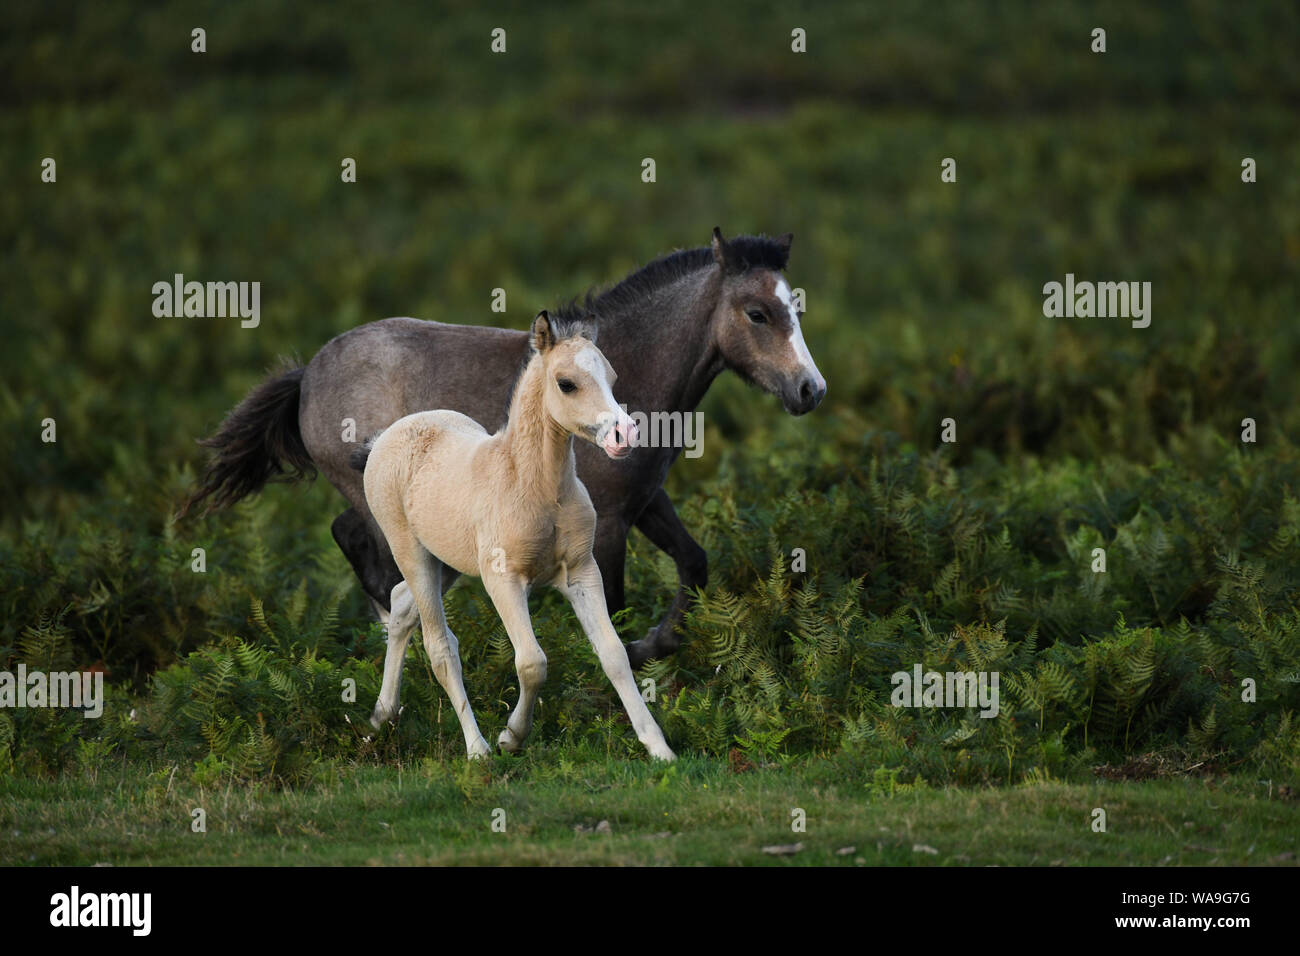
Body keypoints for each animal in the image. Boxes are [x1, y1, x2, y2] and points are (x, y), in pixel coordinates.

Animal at [183, 228, 826, 667]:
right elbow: (614, 610)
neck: (630, 375)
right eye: (757, 312)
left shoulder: (644, 501)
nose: (810, 390)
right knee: (375, 557)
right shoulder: (611, 522)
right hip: (380, 504)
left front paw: (658, 643)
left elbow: (694, 563)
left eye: (796, 307)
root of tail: (307, 376)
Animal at [356, 310, 675, 761]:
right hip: (411, 551)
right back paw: (477, 748)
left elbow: (614, 653)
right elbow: (531, 662)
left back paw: (381, 715)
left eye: (612, 378)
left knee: (401, 604)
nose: (624, 435)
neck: (538, 488)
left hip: (447, 561)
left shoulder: (582, 571)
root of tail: (387, 436)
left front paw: (658, 746)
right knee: (440, 646)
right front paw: (512, 736)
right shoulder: (503, 579)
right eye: (566, 383)